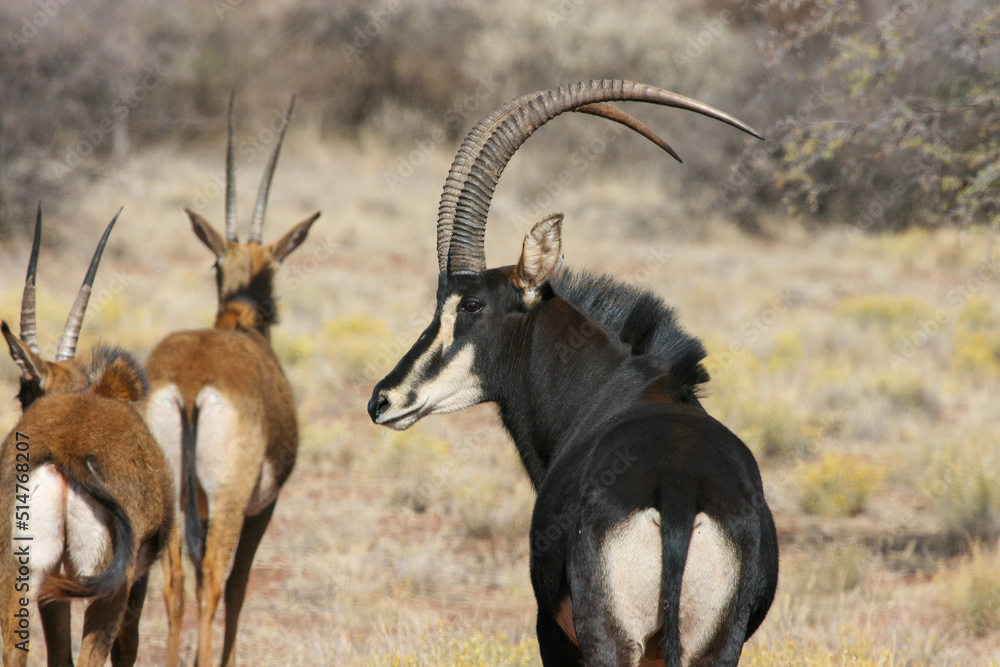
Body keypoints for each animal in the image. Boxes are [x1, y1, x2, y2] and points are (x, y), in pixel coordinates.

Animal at [0, 206, 174, 667]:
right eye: (23, 393)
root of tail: (68, 449)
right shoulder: (138, 581)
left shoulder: (51, 590)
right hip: (109, 588)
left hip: (24, 573)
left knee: (14, 648)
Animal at [143, 94, 319, 667]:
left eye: (218, 263)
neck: (238, 324)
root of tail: (191, 384)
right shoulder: (263, 506)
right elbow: (240, 585)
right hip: (227, 503)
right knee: (215, 579)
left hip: (171, 501)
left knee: (176, 583)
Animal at [368, 80, 779, 666]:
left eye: (471, 304)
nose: (383, 400)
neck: (611, 388)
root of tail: (679, 492)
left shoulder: (552, 630)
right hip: (713, 646)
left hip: (607, 640)